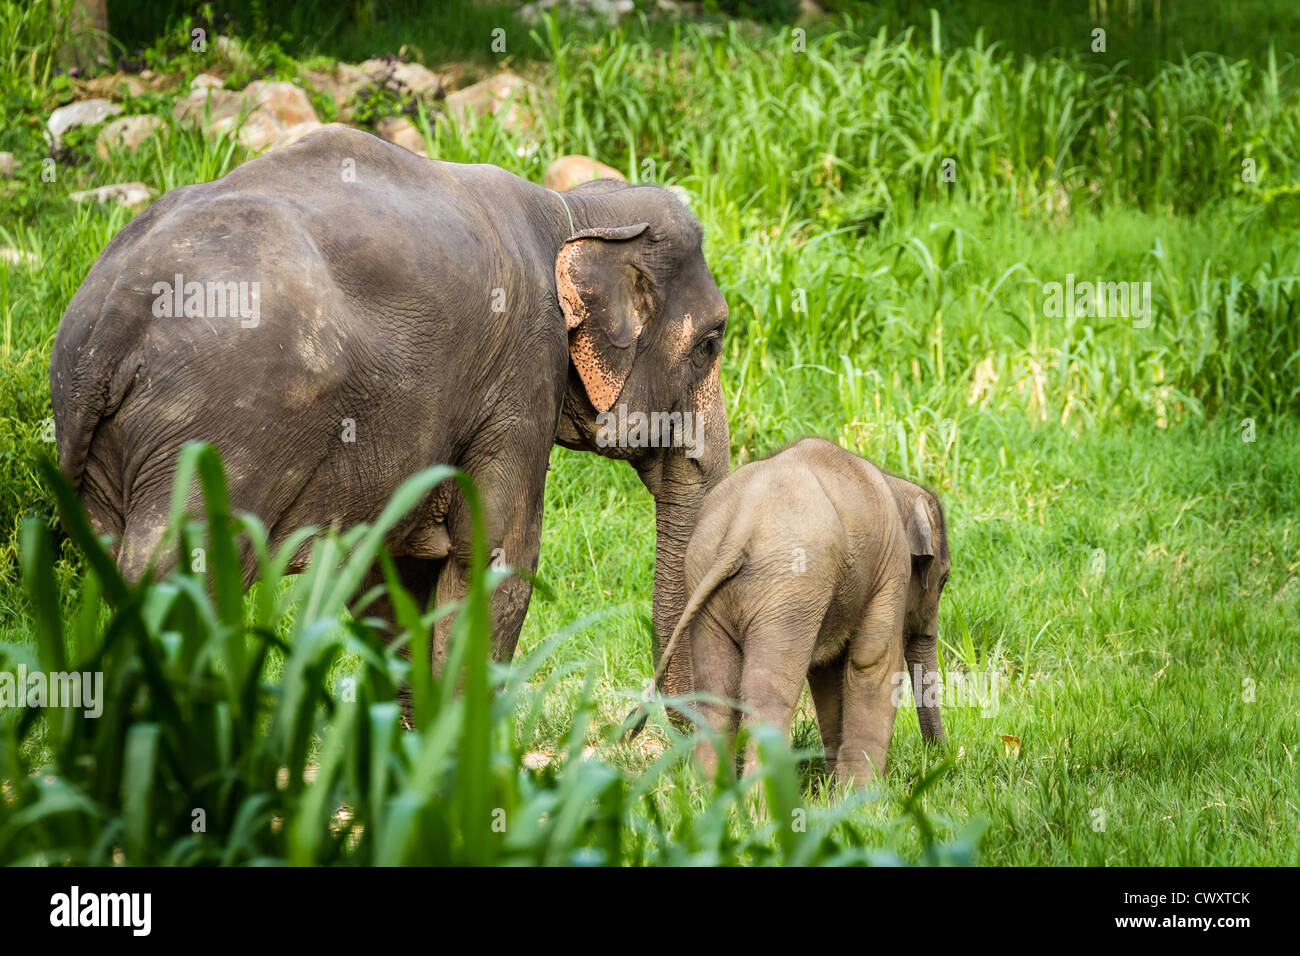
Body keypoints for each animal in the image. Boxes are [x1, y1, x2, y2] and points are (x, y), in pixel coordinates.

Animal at [49, 126, 730, 687]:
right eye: (712, 343)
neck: (574, 211)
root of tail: (111, 316)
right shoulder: (523, 371)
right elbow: (497, 558)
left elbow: (395, 578)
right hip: (218, 426)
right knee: (181, 574)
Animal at [646, 437, 949, 788]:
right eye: (944, 581)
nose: (941, 757)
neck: (897, 486)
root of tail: (742, 524)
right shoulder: (892, 569)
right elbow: (870, 661)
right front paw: (860, 795)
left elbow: (828, 673)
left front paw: (836, 790)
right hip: (789, 589)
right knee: (768, 701)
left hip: (708, 579)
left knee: (716, 698)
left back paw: (710, 796)